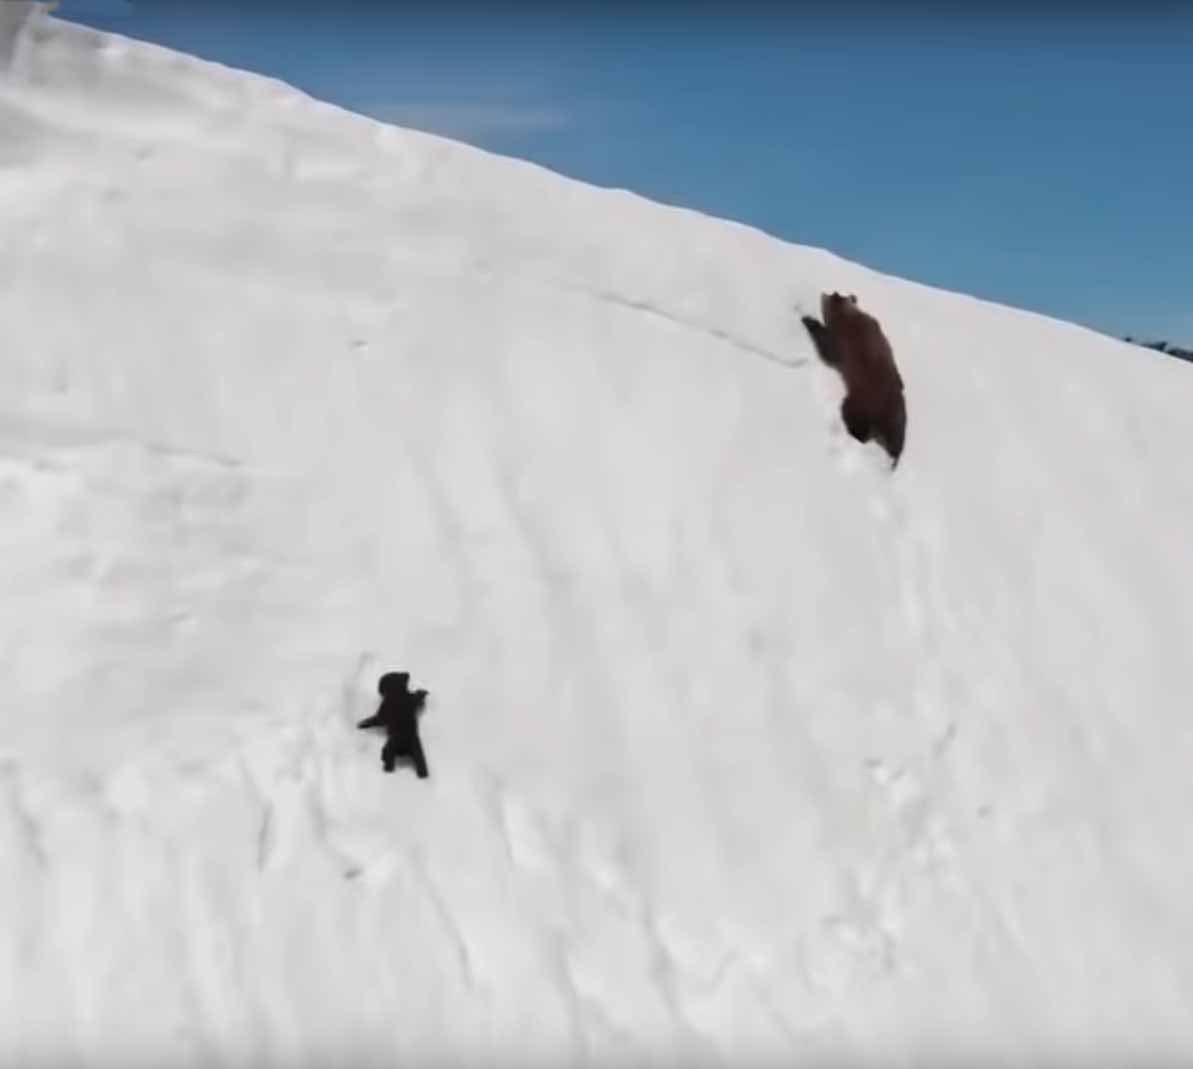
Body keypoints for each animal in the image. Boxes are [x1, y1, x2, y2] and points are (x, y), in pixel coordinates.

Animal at [801, 292, 907, 467]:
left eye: (827, 298)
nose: (823, 294)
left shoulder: (843, 343)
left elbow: (828, 352)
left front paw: (809, 320)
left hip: (860, 405)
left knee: (853, 421)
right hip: (895, 420)